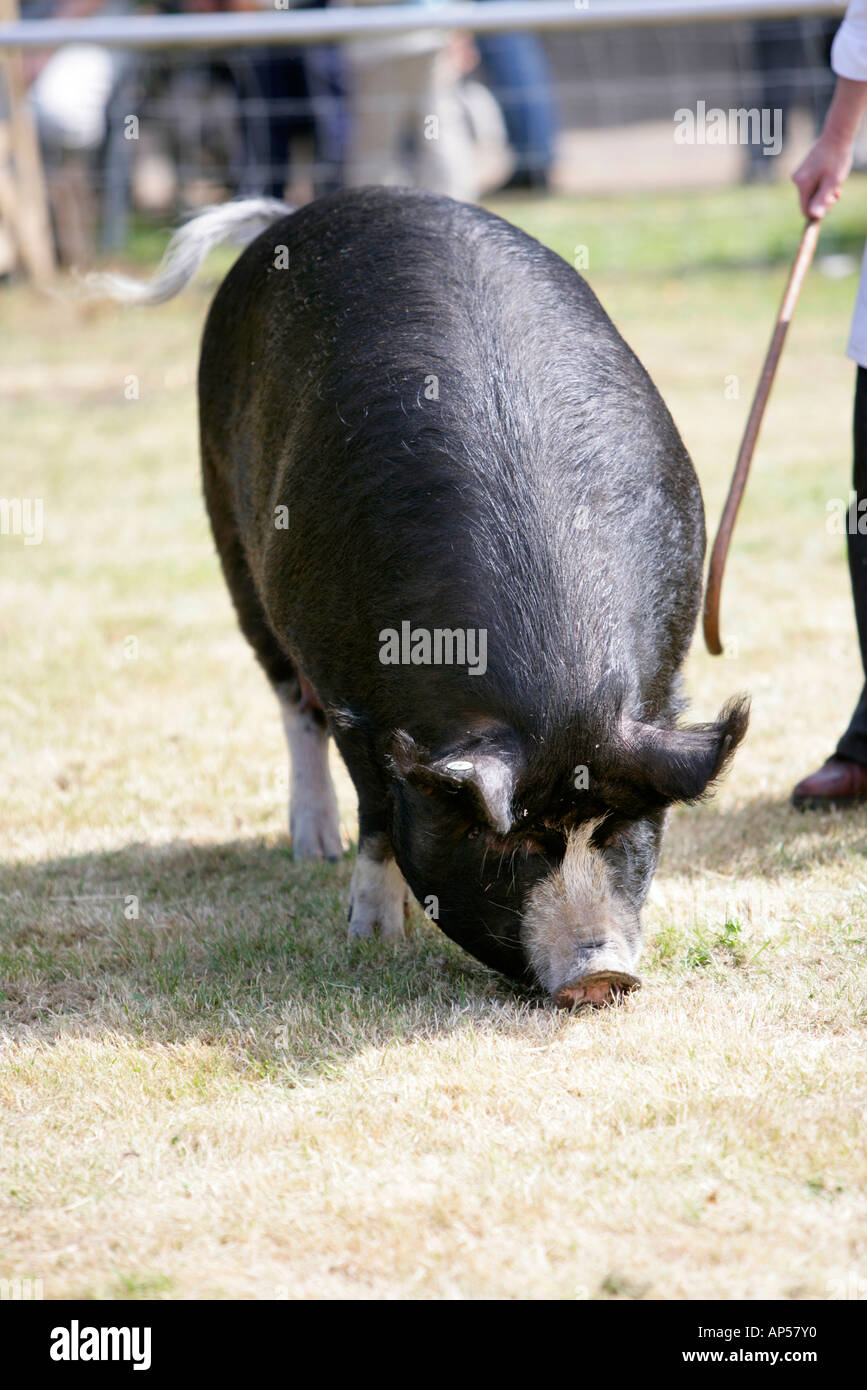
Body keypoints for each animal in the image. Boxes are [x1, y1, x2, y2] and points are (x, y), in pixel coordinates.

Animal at [96, 188, 748, 1006]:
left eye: (614, 831)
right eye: (515, 845)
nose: (601, 975)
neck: (557, 695)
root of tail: (291, 214)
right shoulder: (352, 690)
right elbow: (377, 807)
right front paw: (373, 935)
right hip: (231, 534)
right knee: (289, 702)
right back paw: (314, 849)